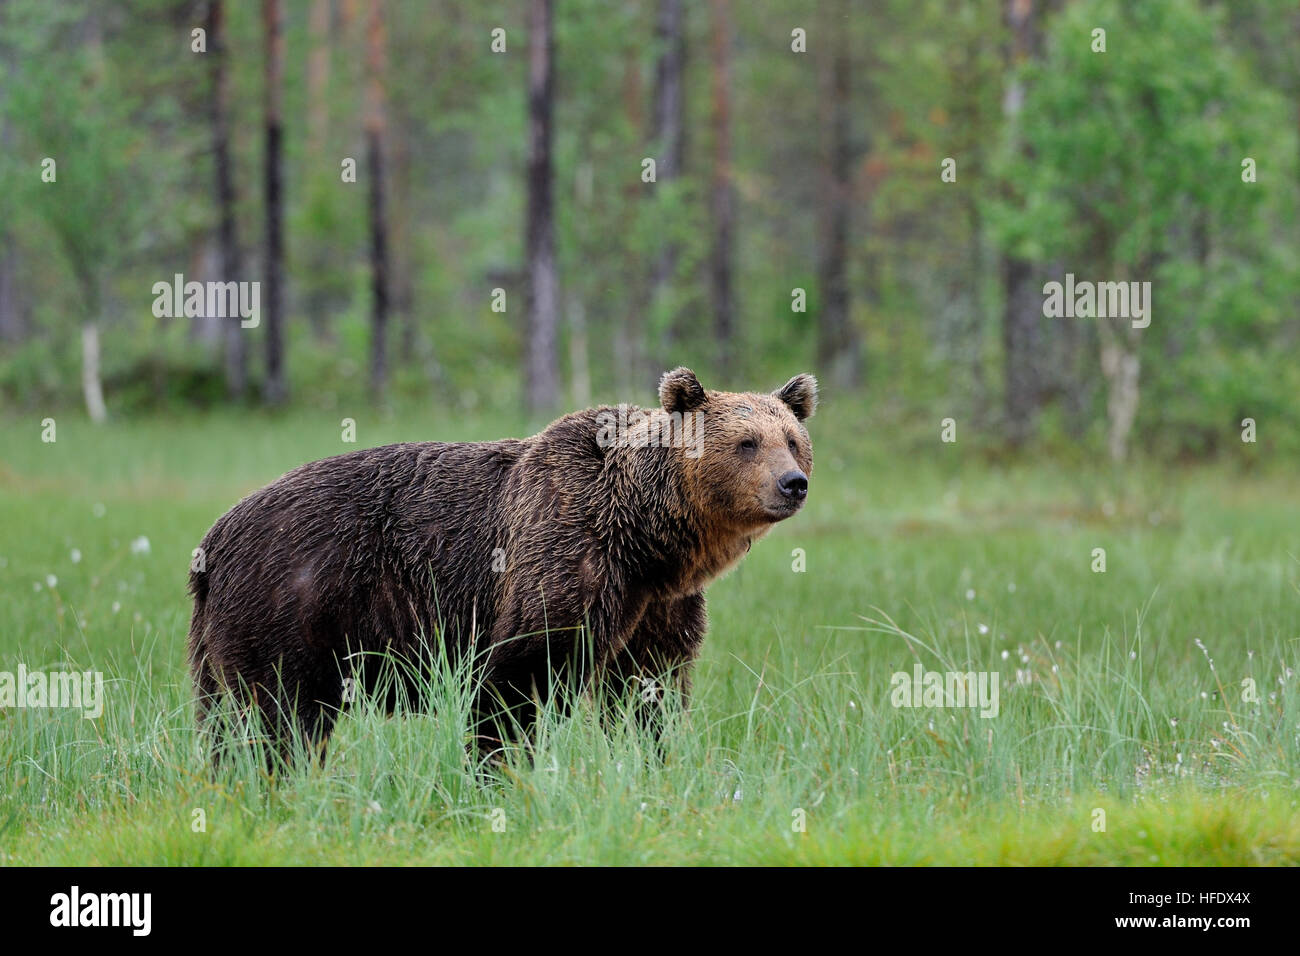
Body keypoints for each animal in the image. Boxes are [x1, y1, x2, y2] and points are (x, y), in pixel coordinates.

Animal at [187, 367, 816, 764]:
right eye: (746, 443)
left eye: (791, 439)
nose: (793, 483)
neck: (645, 540)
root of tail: (212, 540)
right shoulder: (562, 556)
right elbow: (515, 682)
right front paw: (499, 772)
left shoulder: (658, 606)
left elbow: (647, 690)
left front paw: (652, 763)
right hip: (291, 601)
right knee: (273, 715)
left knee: (233, 718)